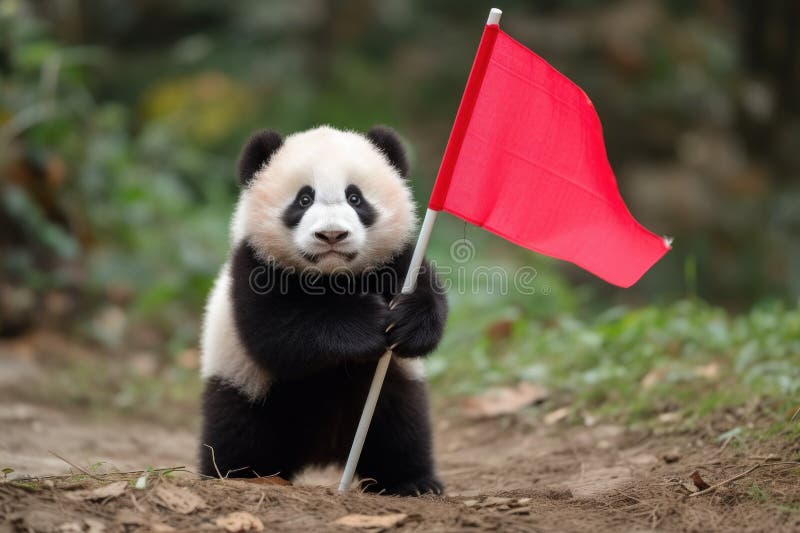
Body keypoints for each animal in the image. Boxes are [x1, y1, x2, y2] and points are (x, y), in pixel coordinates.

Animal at [199, 125, 448, 496]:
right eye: (304, 199)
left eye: (355, 198)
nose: (332, 234)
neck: (332, 277)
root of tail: (323, 454)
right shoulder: (253, 268)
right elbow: (278, 331)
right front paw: (367, 323)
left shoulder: (395, 257)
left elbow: (425, 291)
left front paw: (406, 321)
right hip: (247, 385)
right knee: (237, 432)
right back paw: (238, 477)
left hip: (386, 394)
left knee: (399, 429)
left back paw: (412, 482)